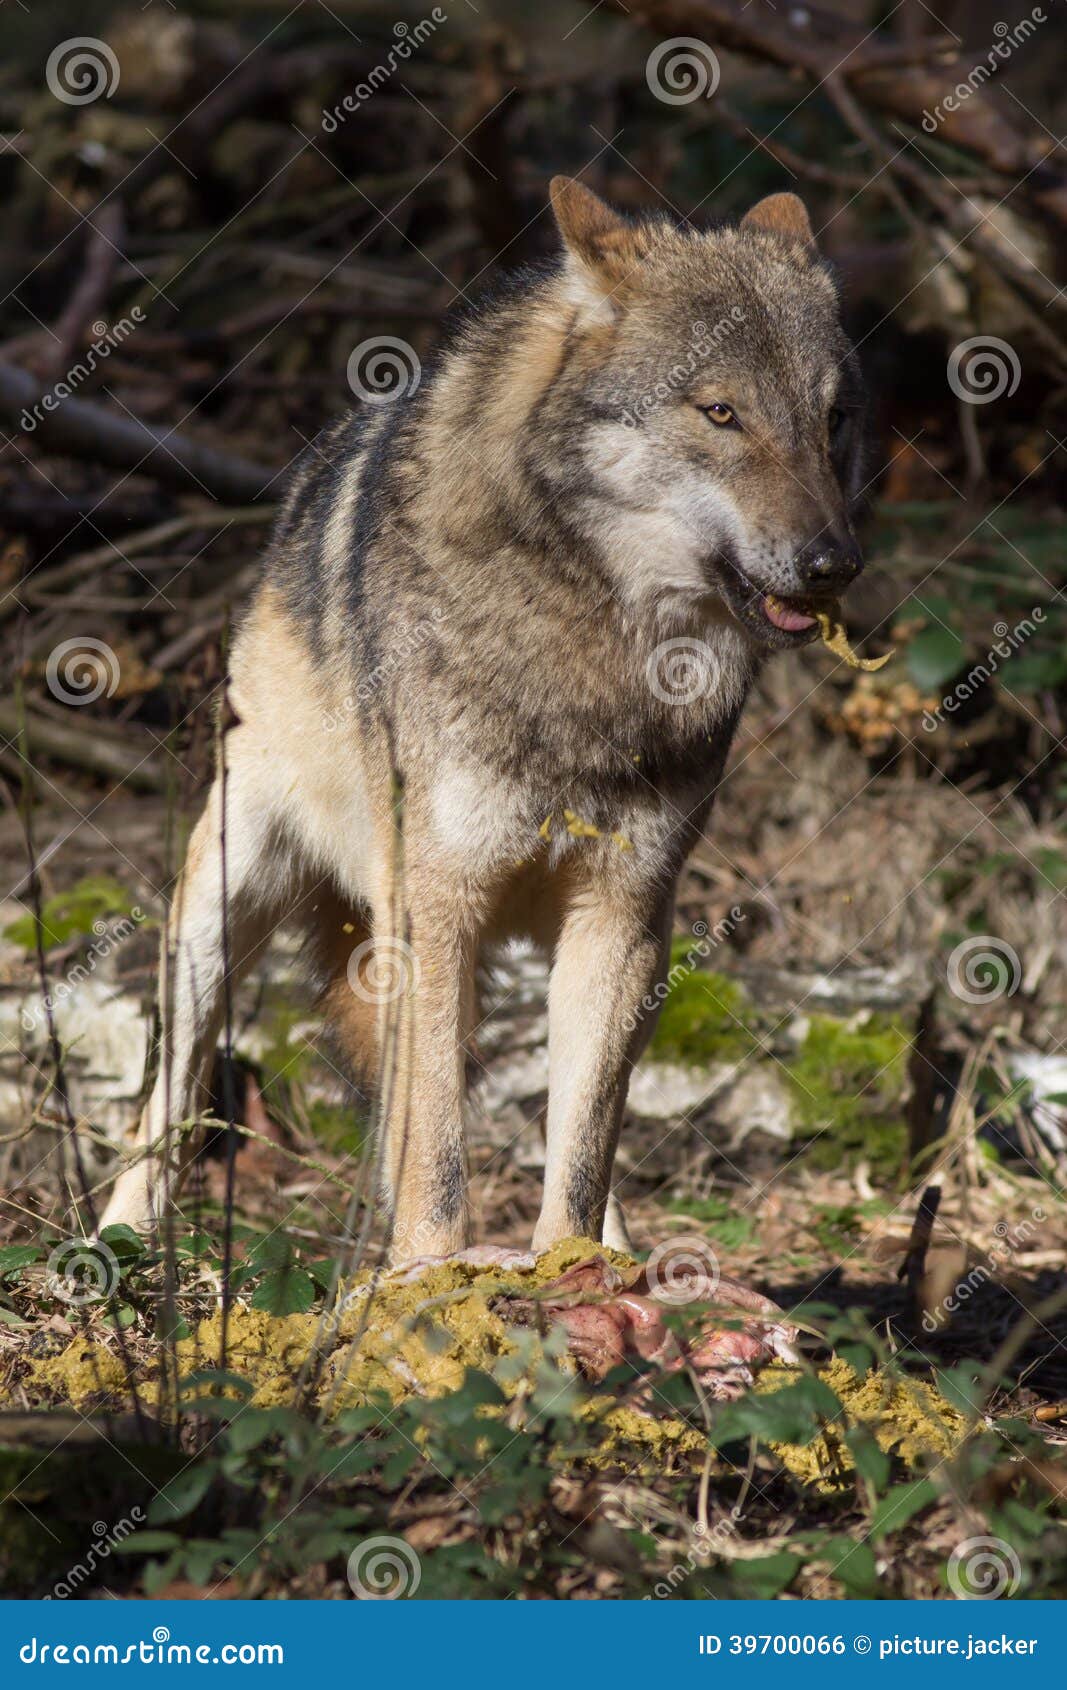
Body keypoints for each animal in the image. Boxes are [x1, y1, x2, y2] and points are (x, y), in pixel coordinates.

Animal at [101, 179, 869, 1259]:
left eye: (831, 419)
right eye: (720, 413)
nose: (833, 563)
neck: (596, 651)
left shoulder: (625, 917)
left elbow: (579, 1154)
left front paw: (568, 1273)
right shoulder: (437, 913)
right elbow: (434, 1157)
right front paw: (428, 1277)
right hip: (226, 909)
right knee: (167, 1104)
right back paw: (112, 1252)